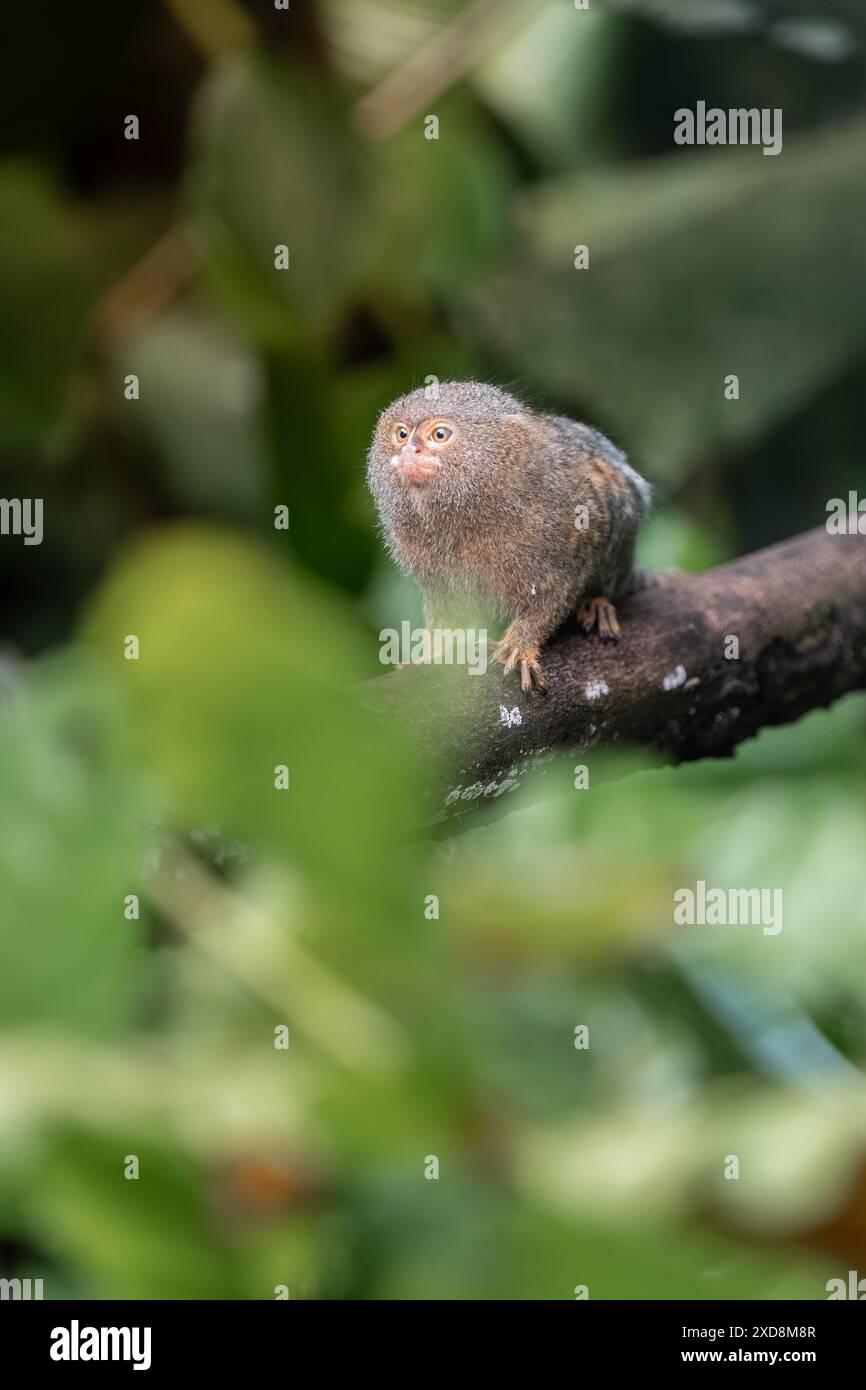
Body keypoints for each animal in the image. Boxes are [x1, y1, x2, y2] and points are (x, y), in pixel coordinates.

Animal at [366, 381, 652, 691]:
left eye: (440, 435)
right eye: (402, 434)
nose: (409, 450)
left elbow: (557, 590)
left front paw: (520, 645)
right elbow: (445, 609)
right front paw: (431, 656)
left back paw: (596, 603)